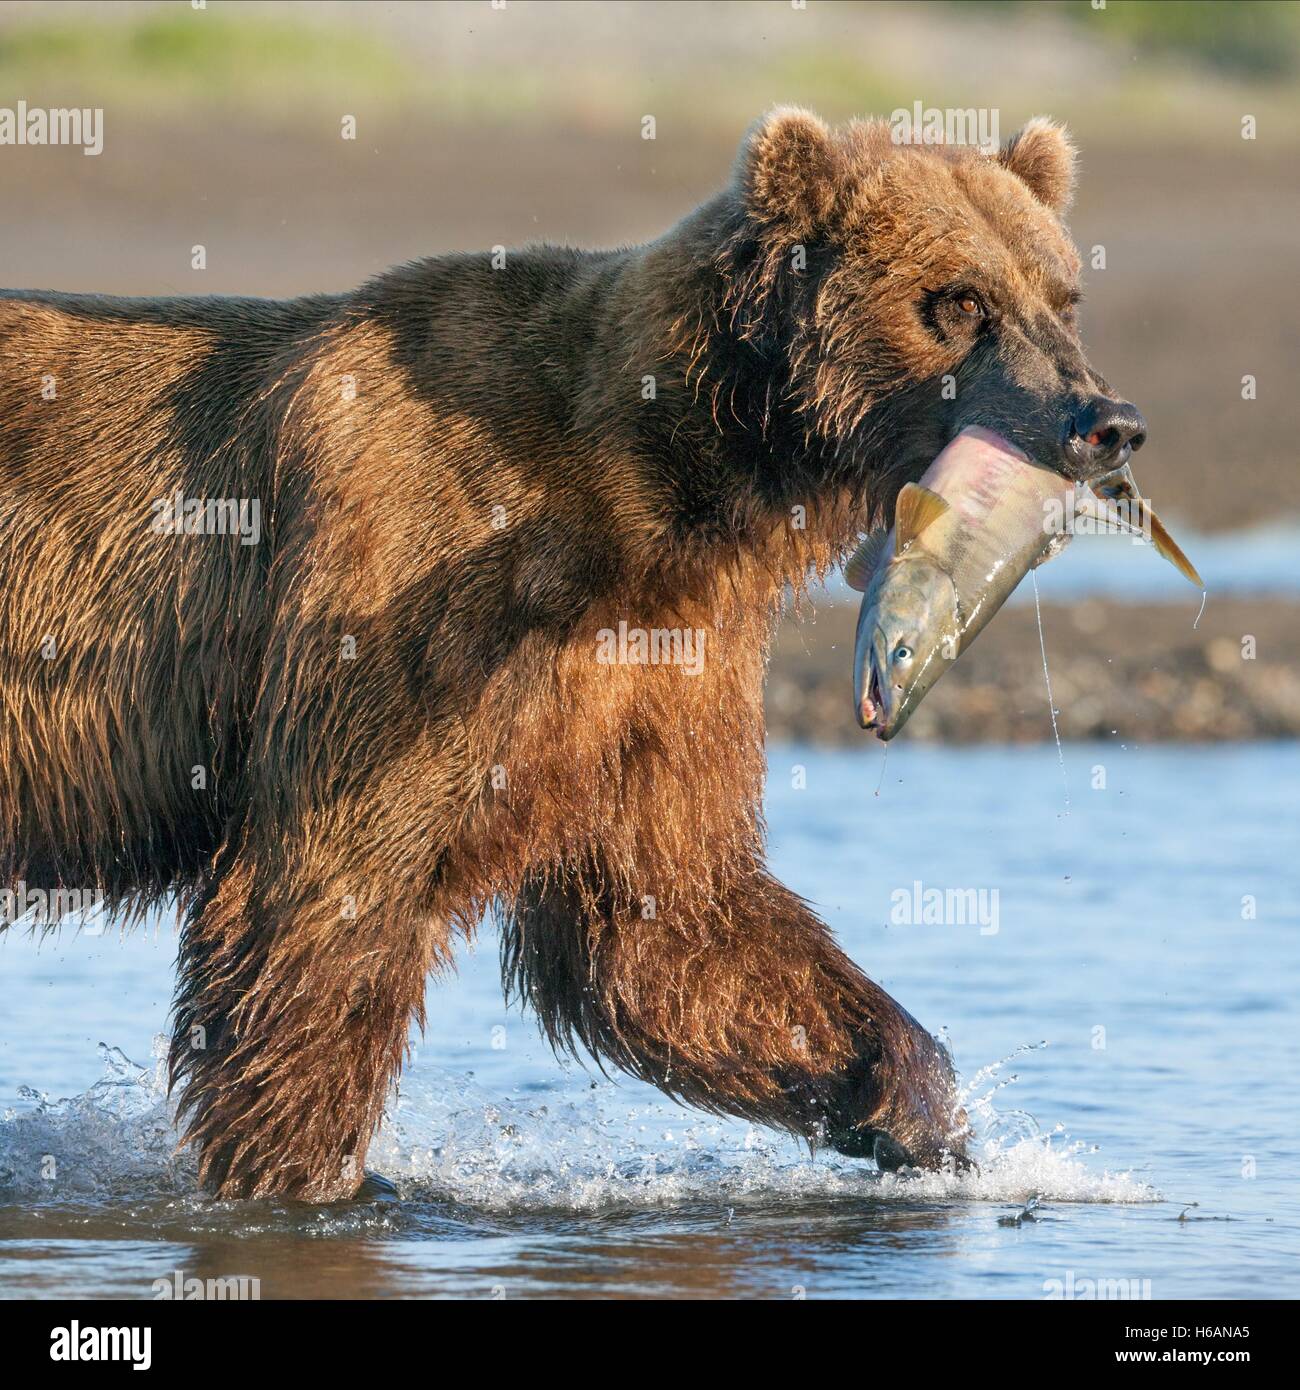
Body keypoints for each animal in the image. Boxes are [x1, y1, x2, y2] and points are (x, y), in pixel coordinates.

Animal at [0, 109, 1146, 1199]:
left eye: (1063, 294)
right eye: (958, 300)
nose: (1107, 420)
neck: (667, 492)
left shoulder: (662, 659)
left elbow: (668, 917)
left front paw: (929, 1121)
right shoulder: (412, 608)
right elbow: (332, 887)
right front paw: (308, 1178)